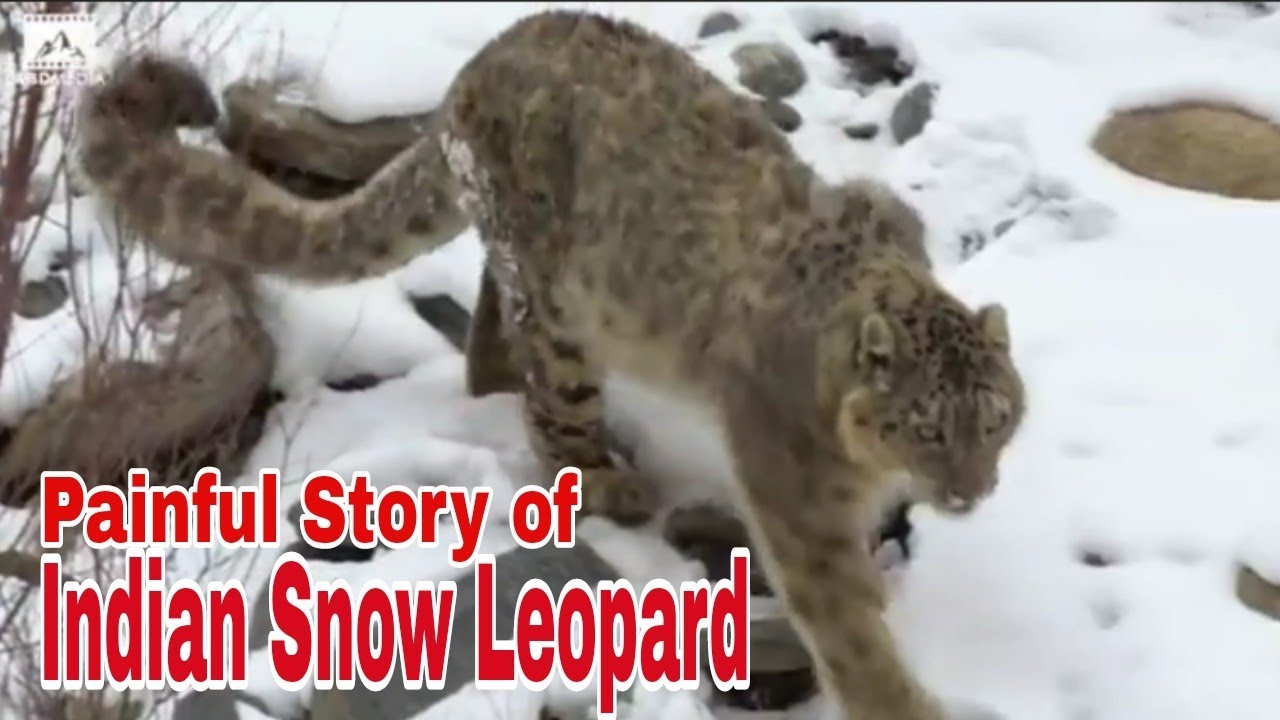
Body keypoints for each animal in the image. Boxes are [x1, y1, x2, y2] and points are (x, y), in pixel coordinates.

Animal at [76, 12, 1026, 720]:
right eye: (926, 425)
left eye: (996, 420)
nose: (972, 493)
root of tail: (472, 72)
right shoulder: (793, 490)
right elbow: (845, 620)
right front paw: (901, 697)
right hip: (561, 316)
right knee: (546, 406)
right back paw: (607, 478)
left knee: (489, 339)